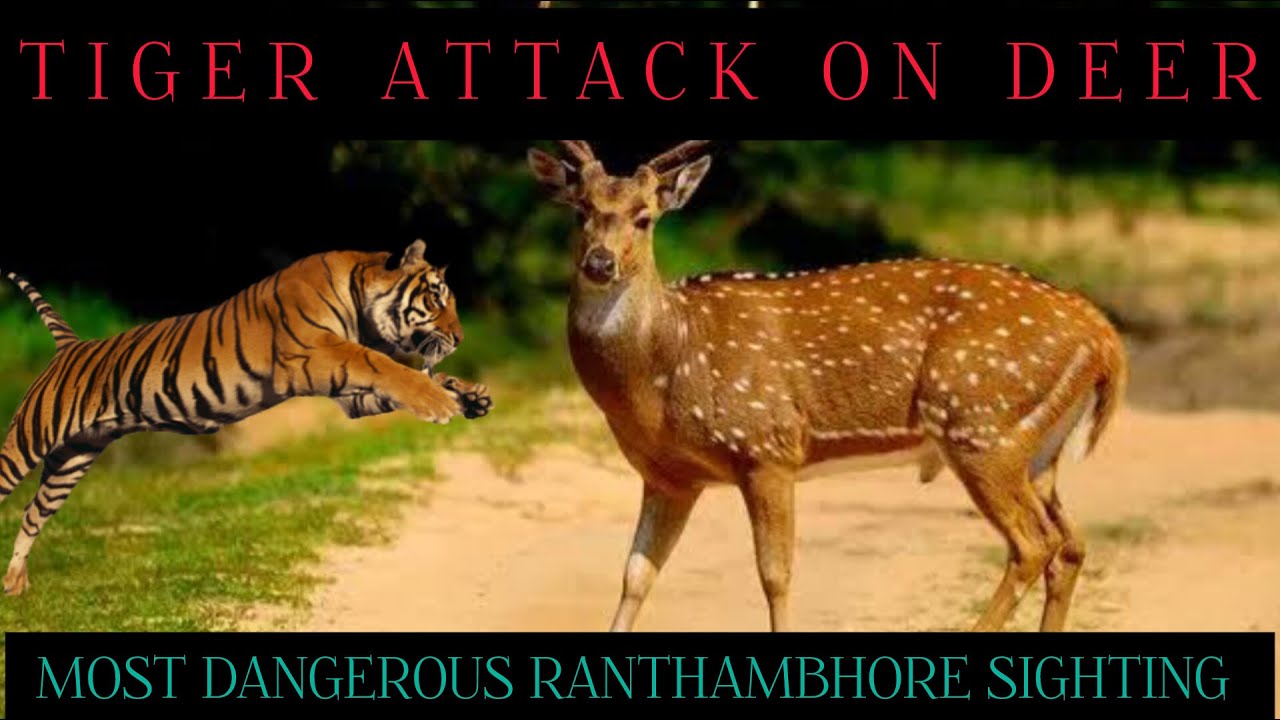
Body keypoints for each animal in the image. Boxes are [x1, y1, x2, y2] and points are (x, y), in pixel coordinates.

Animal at [0, 238, 493, 596]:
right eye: (435, 298)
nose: (460, 337)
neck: (360, 301)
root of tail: (69, 346)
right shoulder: (320, 355)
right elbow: (386, 365)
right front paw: (439, 402)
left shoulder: (348, 394)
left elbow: (414, 374)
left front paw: (472, 395)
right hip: (28, 440)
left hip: (73, 459)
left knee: (31, 513)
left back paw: (15, 583)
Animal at [526, 140, 1129, 633]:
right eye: (580, 211)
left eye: (645, 217)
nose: (599, 263)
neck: (664, 371)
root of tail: (1102, 333)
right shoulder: (669, 476)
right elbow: (635, 575)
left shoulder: (767, 444)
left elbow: (775, 574)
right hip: (1036, 448)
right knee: (1070, 545)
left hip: (982, 425)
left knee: (1034, 543)